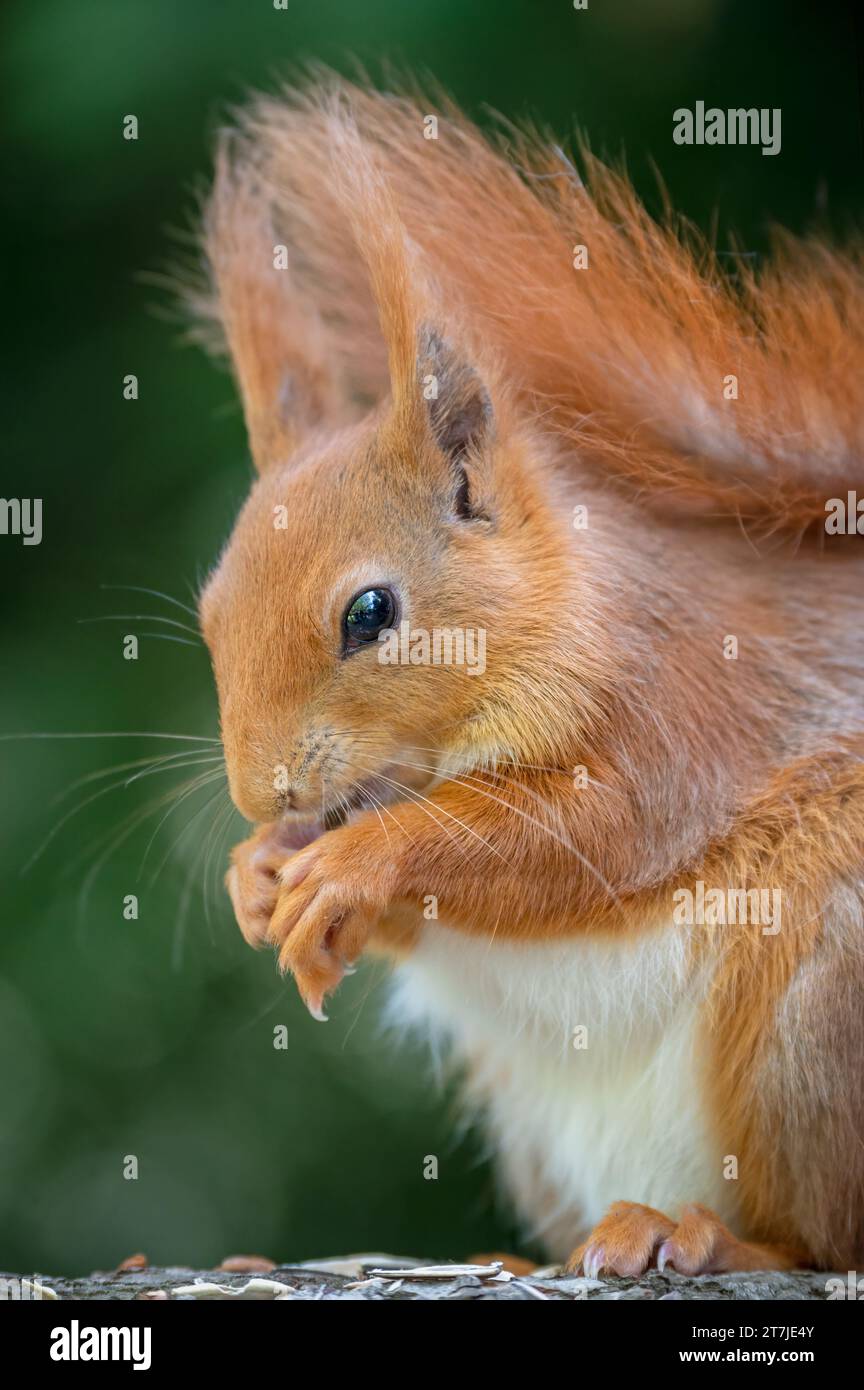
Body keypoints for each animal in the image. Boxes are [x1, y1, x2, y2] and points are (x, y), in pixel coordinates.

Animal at [188, 76, 864, 1276]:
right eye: (208, 616)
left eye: (371, 613)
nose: (265, 794)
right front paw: (259, 877)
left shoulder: (678, 701)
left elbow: (582, 836)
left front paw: (356, 861)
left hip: (821, 987)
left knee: (824, 1236)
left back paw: (706, 1238)